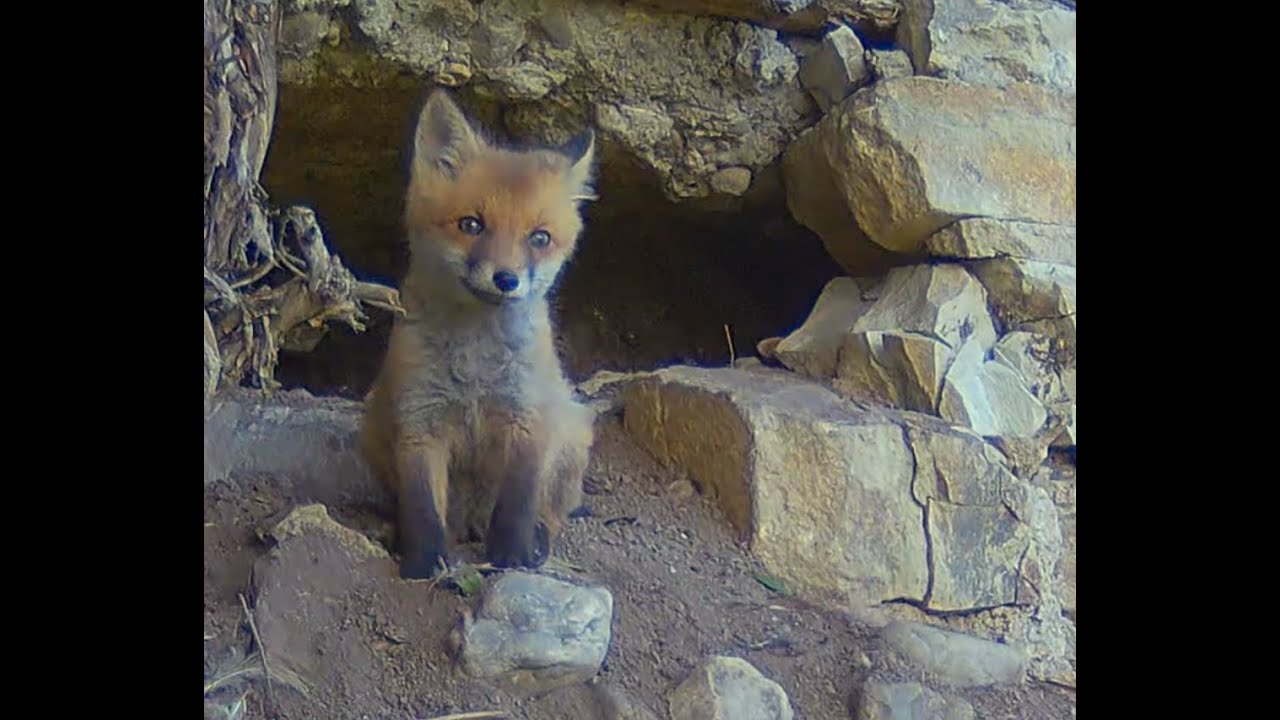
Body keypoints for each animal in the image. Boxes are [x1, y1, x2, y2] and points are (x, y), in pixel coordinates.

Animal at [359, 89, 597, 580]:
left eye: (539, 238)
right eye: (471, 225)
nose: (506, 279)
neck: (475, 364)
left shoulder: (526, 417)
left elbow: (517, 504)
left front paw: (512, 556)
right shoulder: (420, 423)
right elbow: (421, 508)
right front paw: (423, 564)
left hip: (572, 430)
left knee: (551, 512)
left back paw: (538, 541)